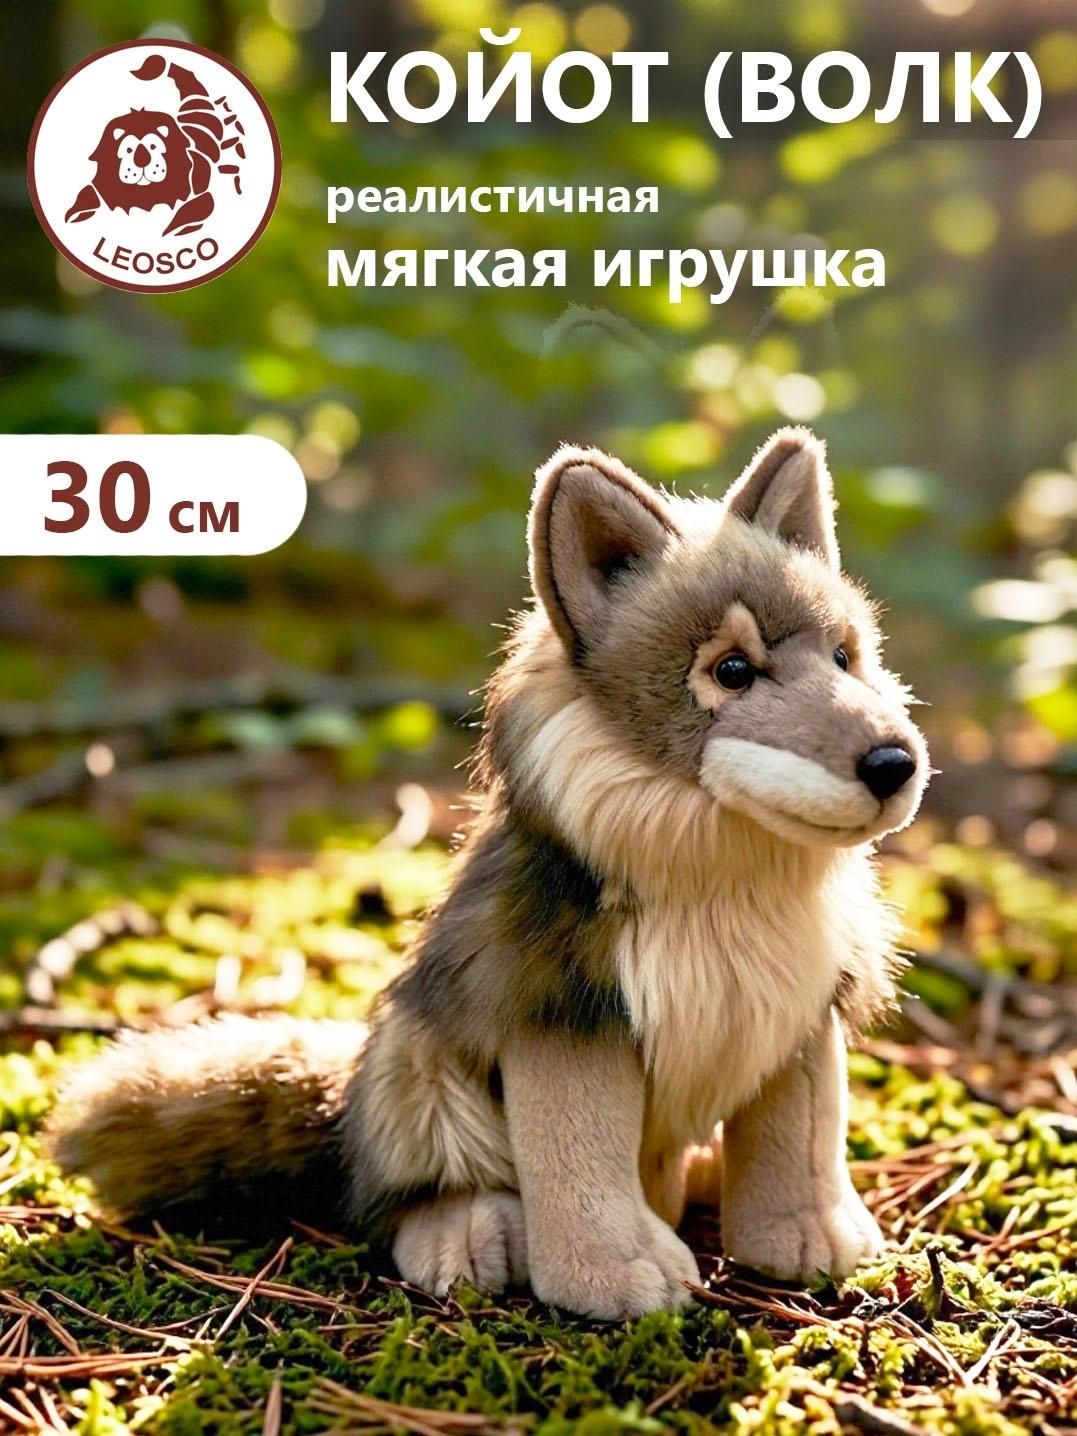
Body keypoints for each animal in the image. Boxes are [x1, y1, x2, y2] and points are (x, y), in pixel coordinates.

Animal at [51, 427, 928, 1319]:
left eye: (844, 657)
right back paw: (470, 1234)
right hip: (424, 1075)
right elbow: (578, 1167)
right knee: (420, 1194)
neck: (726, 893)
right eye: (731, 671)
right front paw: (612, 1276)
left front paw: (807, 1240)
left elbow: (797, 1145)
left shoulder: (799, 1014)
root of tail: (345, 1112)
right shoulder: (559, 1012)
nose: (892, 764)